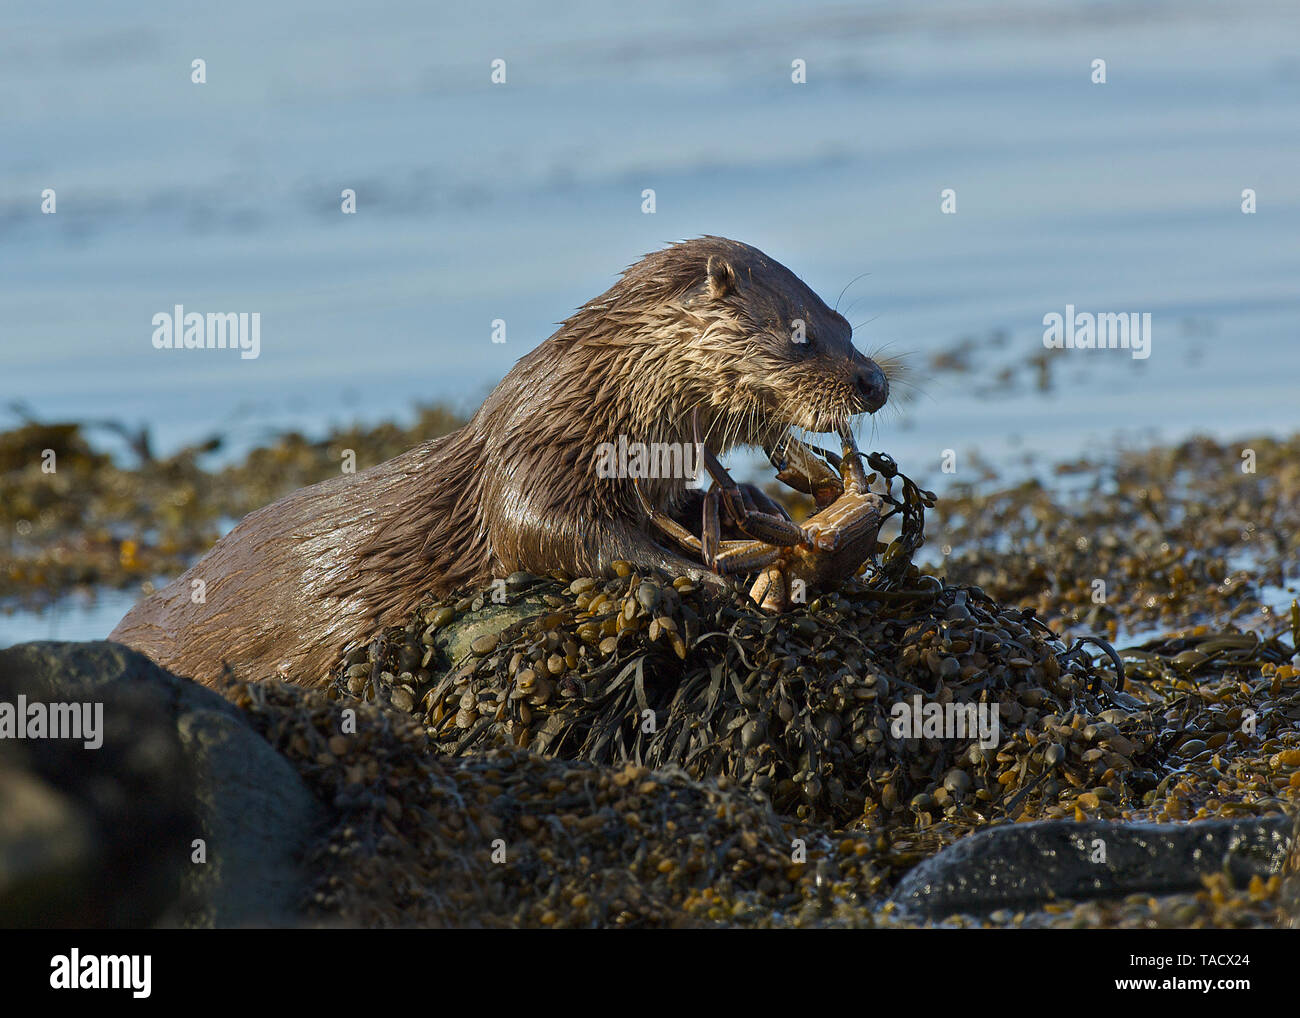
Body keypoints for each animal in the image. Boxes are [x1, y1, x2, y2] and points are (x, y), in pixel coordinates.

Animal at [110, 237, 890, 688]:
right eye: (800, 335)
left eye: (848, 324)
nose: (873, 381)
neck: (602, 398)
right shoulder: (532, 459)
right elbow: (546, 533)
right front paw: (696, 572)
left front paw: (754, 512)